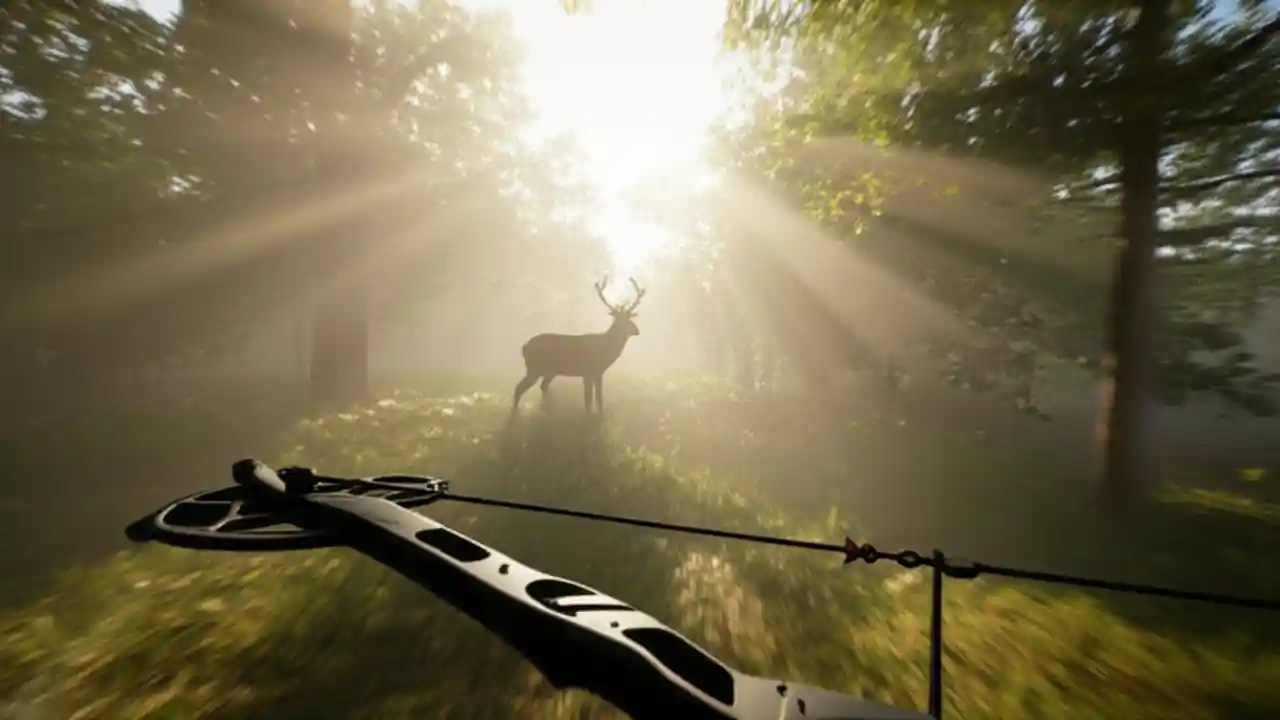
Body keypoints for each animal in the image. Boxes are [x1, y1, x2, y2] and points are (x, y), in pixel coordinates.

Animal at [513, 277, 646, 415]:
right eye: (619, 320)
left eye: (629, 318)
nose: (637, 330)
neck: (605, 349)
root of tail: (524, 347)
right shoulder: (587, 371)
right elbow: (588, 398)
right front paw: (589, 415)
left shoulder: (598, 372)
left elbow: (599, 397)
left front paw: (598, 414)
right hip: (535, 368)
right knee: (519, 388)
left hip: (548, 371)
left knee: (542, 387)